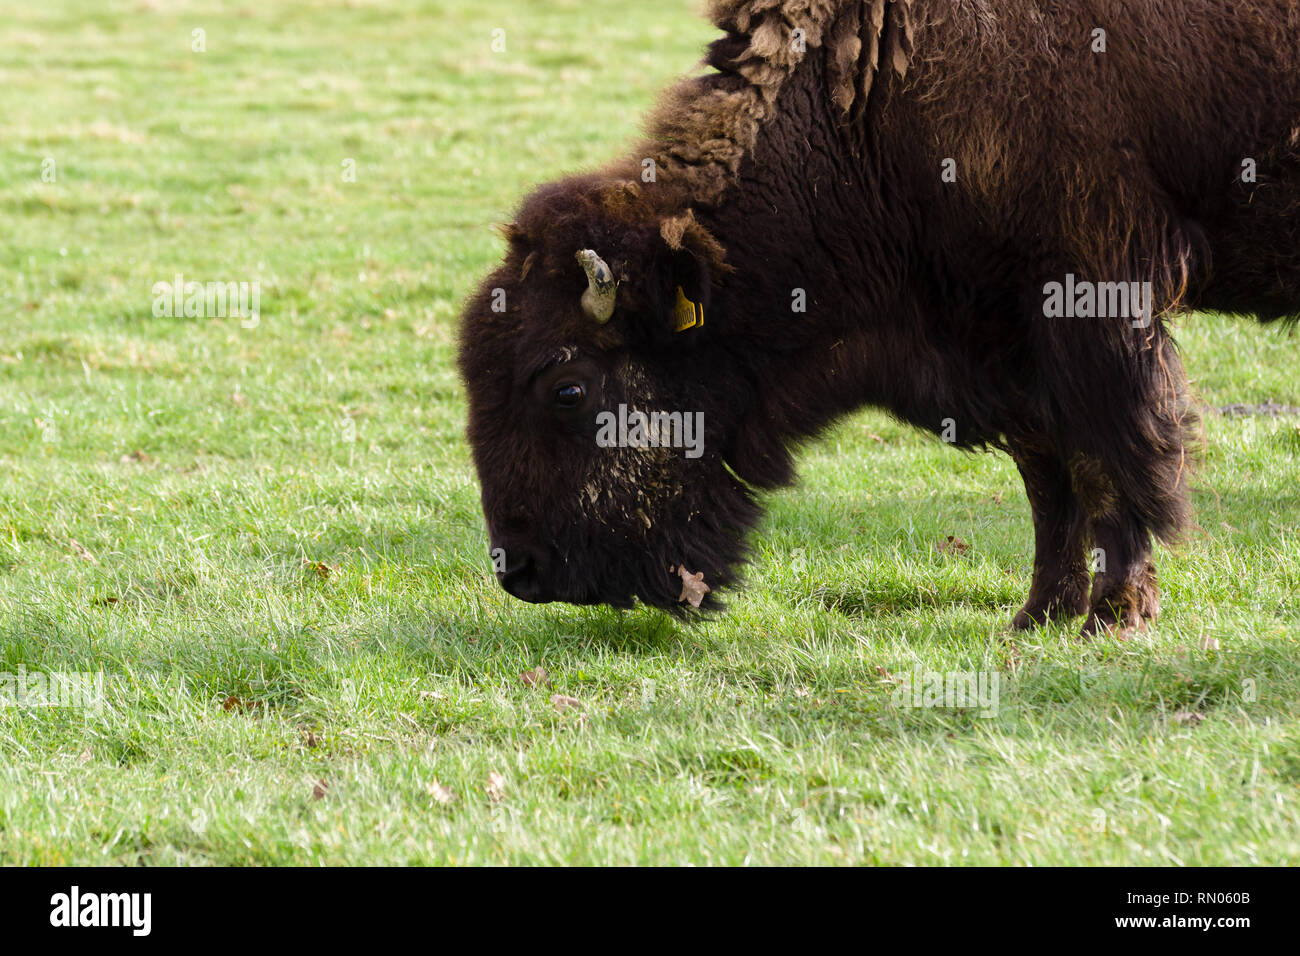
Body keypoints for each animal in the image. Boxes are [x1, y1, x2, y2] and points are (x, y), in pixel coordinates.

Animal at [458, 0, 1300, 635]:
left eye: (567, 389)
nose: (521, 569)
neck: (867, 97)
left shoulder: (1091, 299)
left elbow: (1109, 455)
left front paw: (1115, 614)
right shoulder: (1000, 337)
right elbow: (1046, 468)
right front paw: (1038, 614)